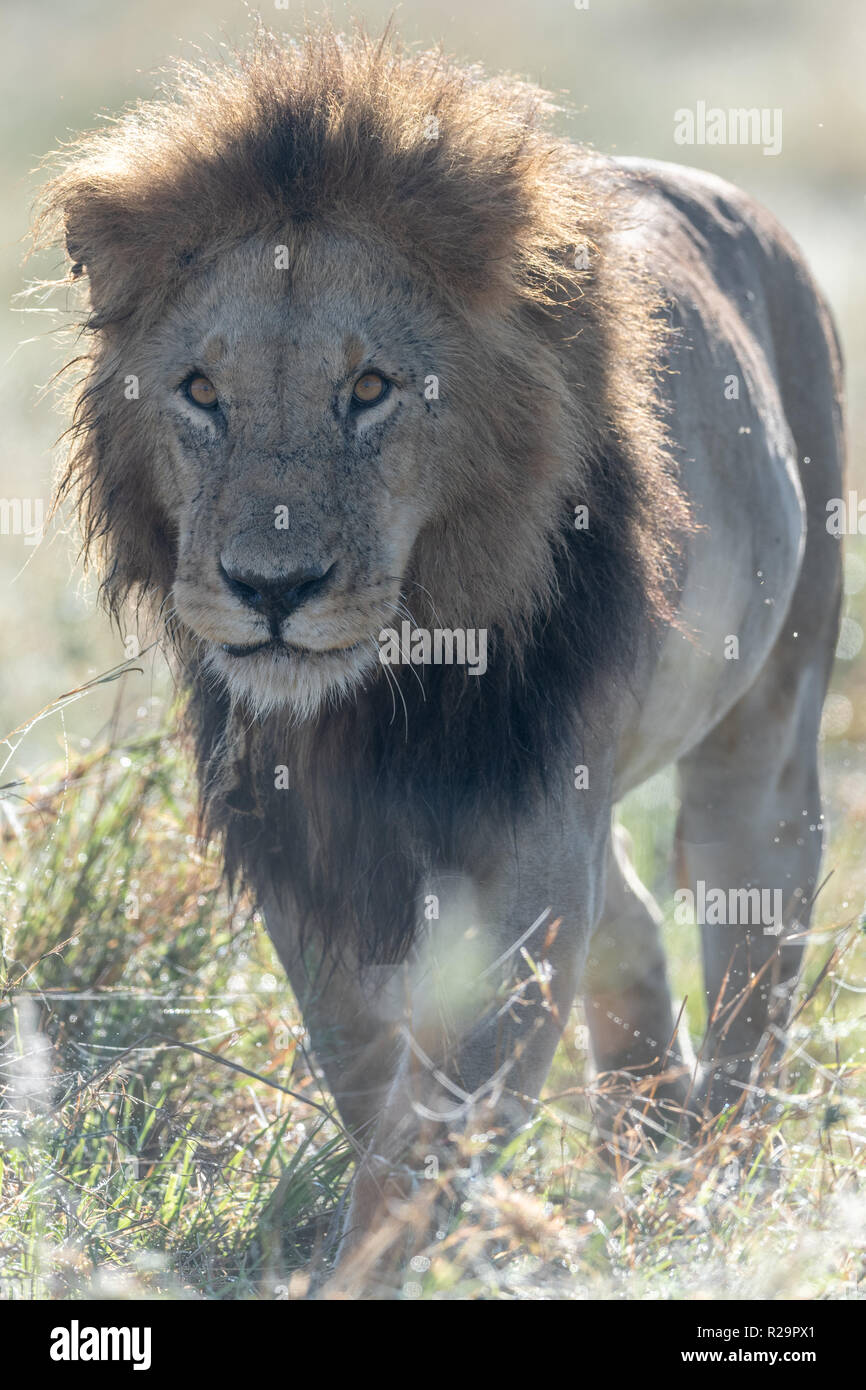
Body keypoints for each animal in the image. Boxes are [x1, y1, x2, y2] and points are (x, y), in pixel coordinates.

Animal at [35, 26, 844, 1271]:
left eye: (369, 389)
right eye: (201, 392)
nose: (272, 589)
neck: (384, 687)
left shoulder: (529, 828)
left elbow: (449, 1094)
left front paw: (400, 1248)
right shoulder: (306, 841)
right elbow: (370, 1069)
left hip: (768, 717)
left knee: (754, 930)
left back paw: (710, 1178)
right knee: (633, 921)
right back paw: (643, 1138)